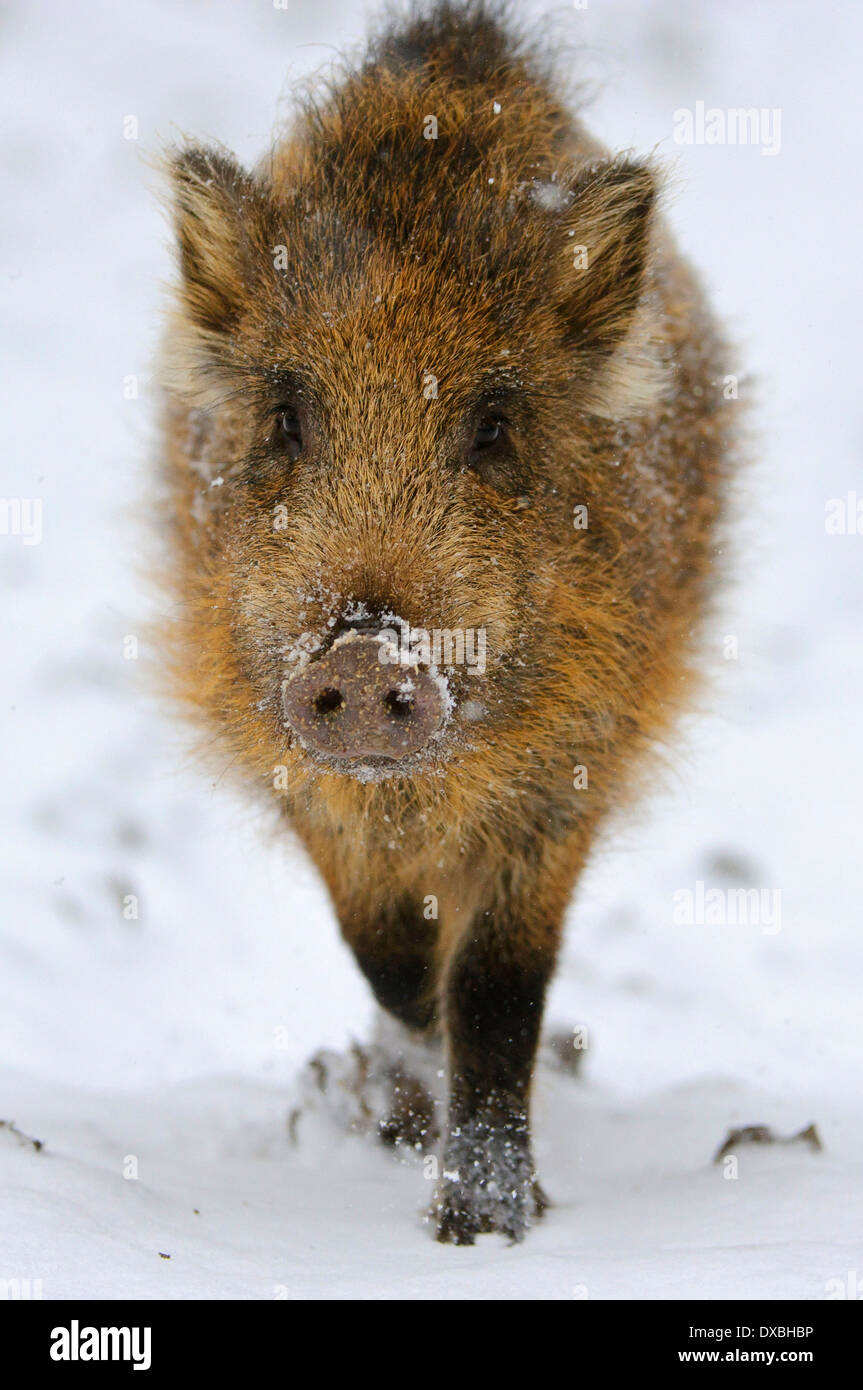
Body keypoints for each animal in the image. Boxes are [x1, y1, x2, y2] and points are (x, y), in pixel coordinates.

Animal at [156, 0, 737, 1243]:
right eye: (285, 414)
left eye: (493, 425)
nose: (368, 649)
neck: (413, 786)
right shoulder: (281, 751)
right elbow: (385, 952)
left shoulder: (571, 763)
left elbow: (497, 986)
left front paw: (485, 1229)